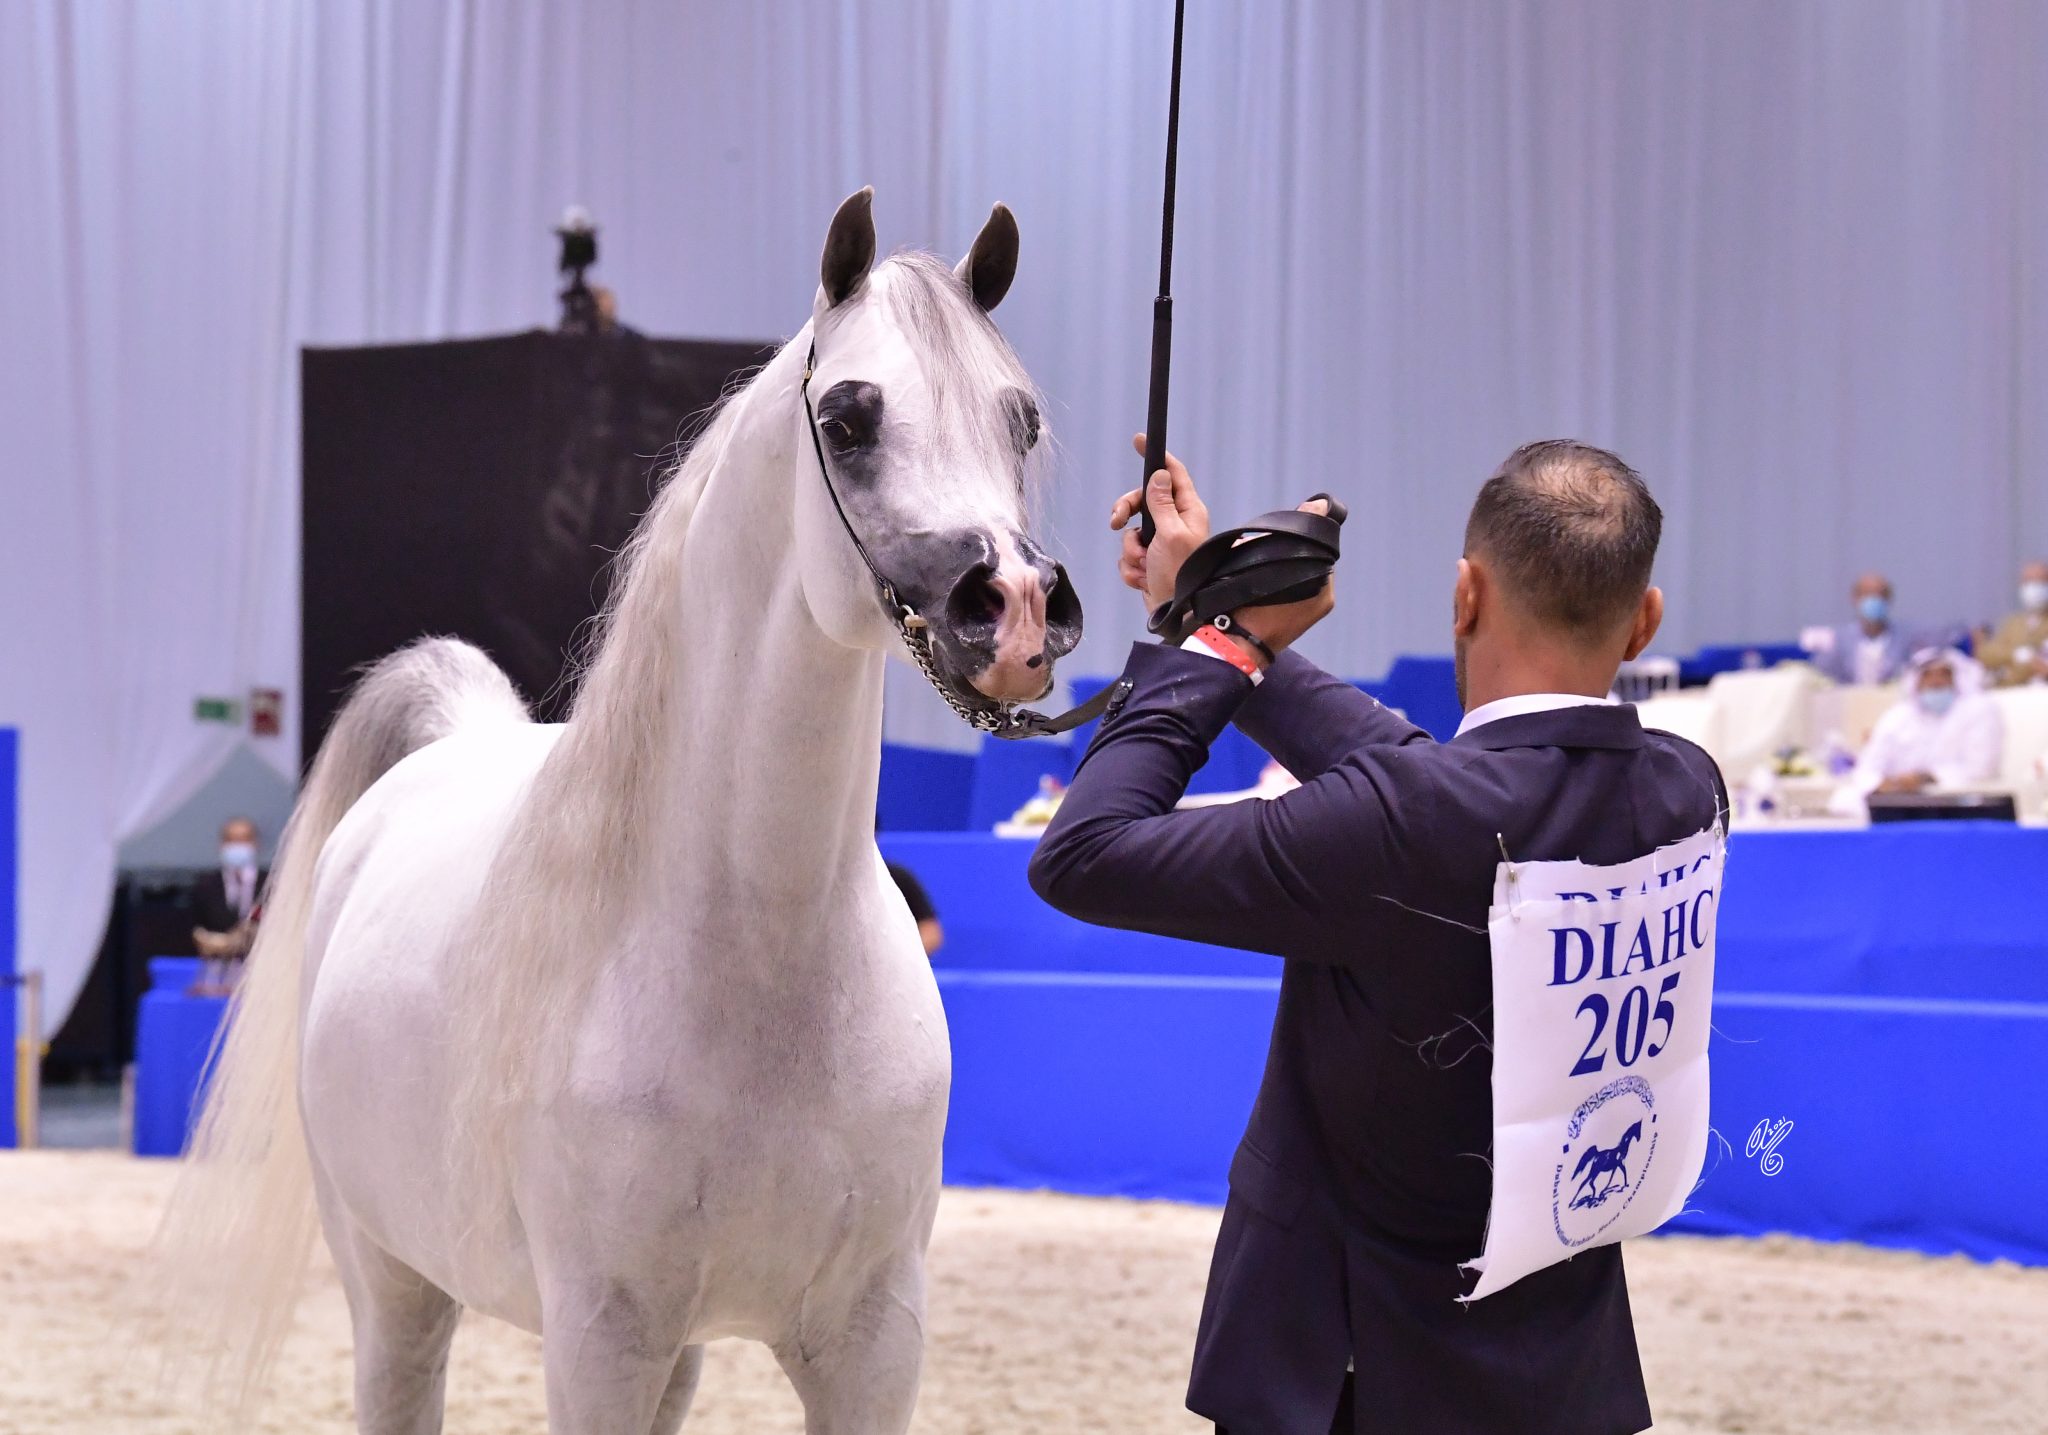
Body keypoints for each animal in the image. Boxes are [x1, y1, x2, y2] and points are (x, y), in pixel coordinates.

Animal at [149, 187, 1083, 1435]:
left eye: (1018, 422)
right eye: (847, 419)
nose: (1018, 611)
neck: (766, 956)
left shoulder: (871, 1341)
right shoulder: (599, 1339)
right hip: (395, 1284)